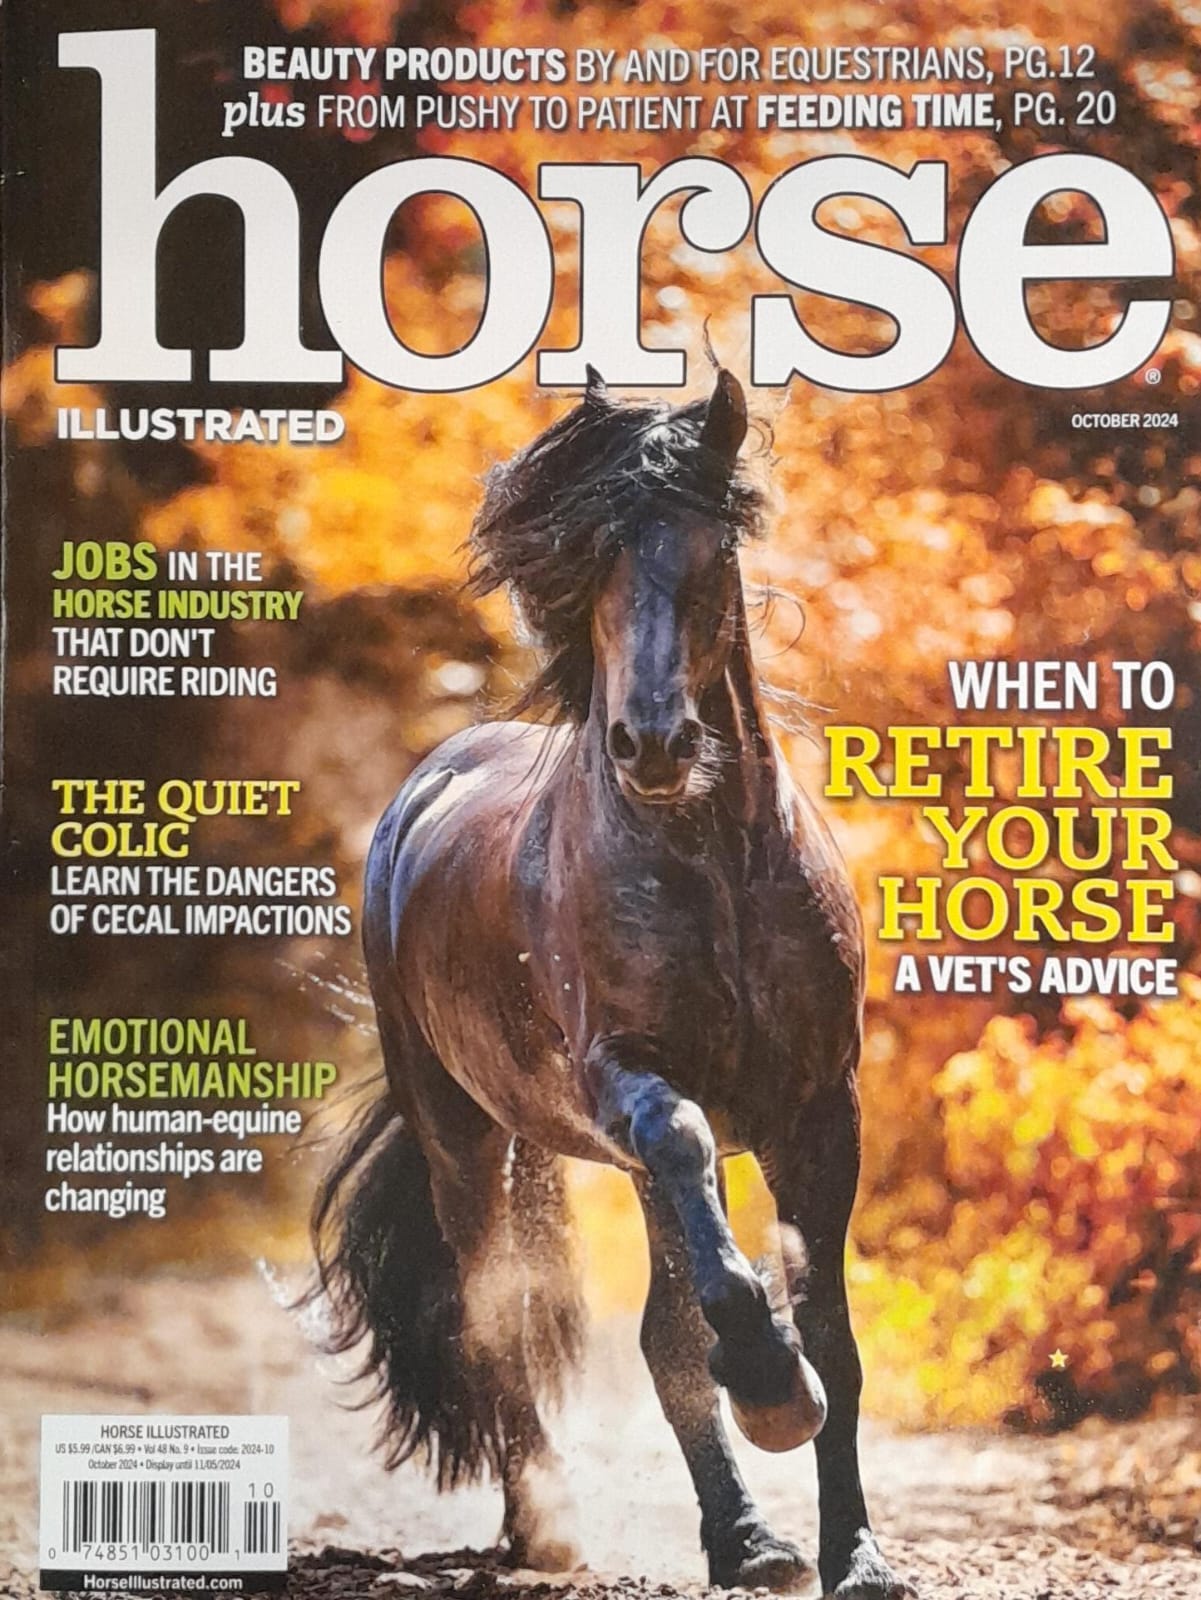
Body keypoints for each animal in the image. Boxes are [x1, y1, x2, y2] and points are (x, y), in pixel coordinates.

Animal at [312, 368, 909, 1599]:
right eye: (592, 561)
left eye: (708, 553)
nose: (652, 744)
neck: (715, 864)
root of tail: (423, 793)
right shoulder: (633, 1087)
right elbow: (707, 1284)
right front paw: (772, 1397)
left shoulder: (821, 1110)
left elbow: (827, 1333)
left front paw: (856, 1554)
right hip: (464, 1136)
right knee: (495, 1313)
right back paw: (548, 1526)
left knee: (662, 1334)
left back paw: (749, 1540)